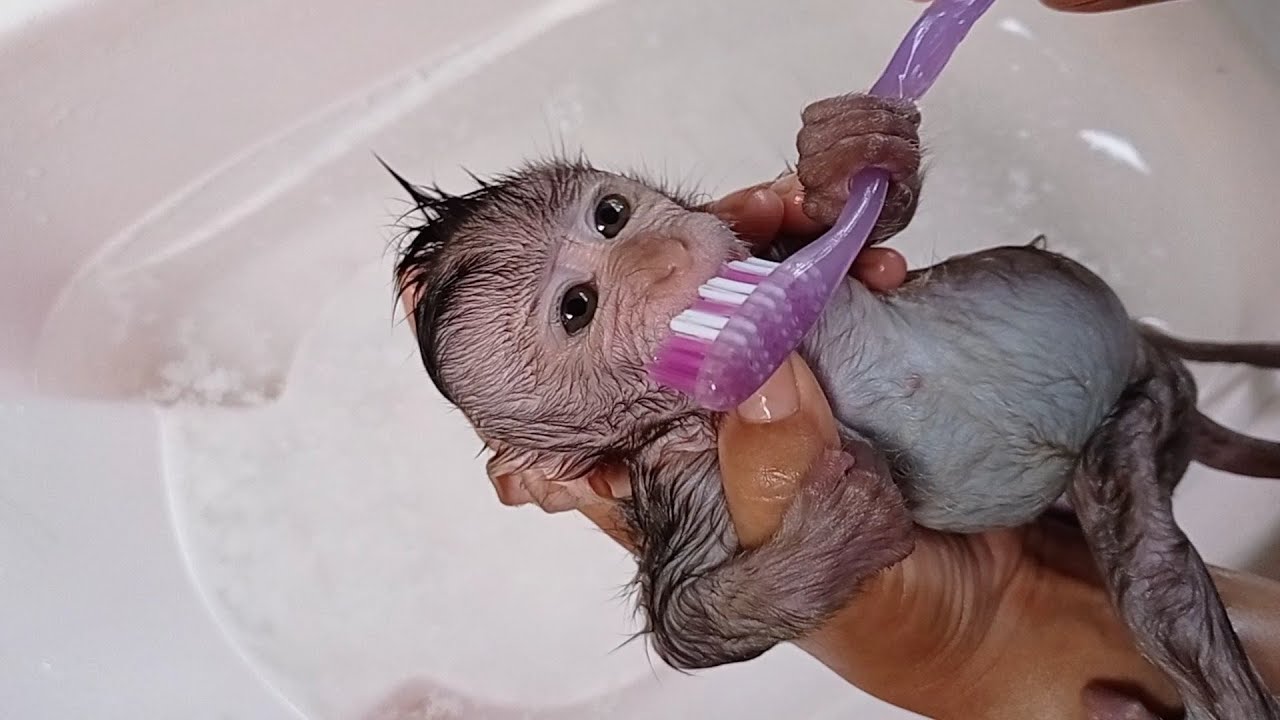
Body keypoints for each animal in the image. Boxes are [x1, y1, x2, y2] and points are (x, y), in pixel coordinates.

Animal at [389, 93, 1280, 718]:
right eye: (578, 307)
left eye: (610, 215)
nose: (661, 252)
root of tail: (1156, 365)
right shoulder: (685, 467)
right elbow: (688, 617)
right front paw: (835, 536)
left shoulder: (782, 256)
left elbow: (855, 227)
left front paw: (846, 152)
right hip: (1139, 425)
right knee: (1156, 578)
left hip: (1144, 401)